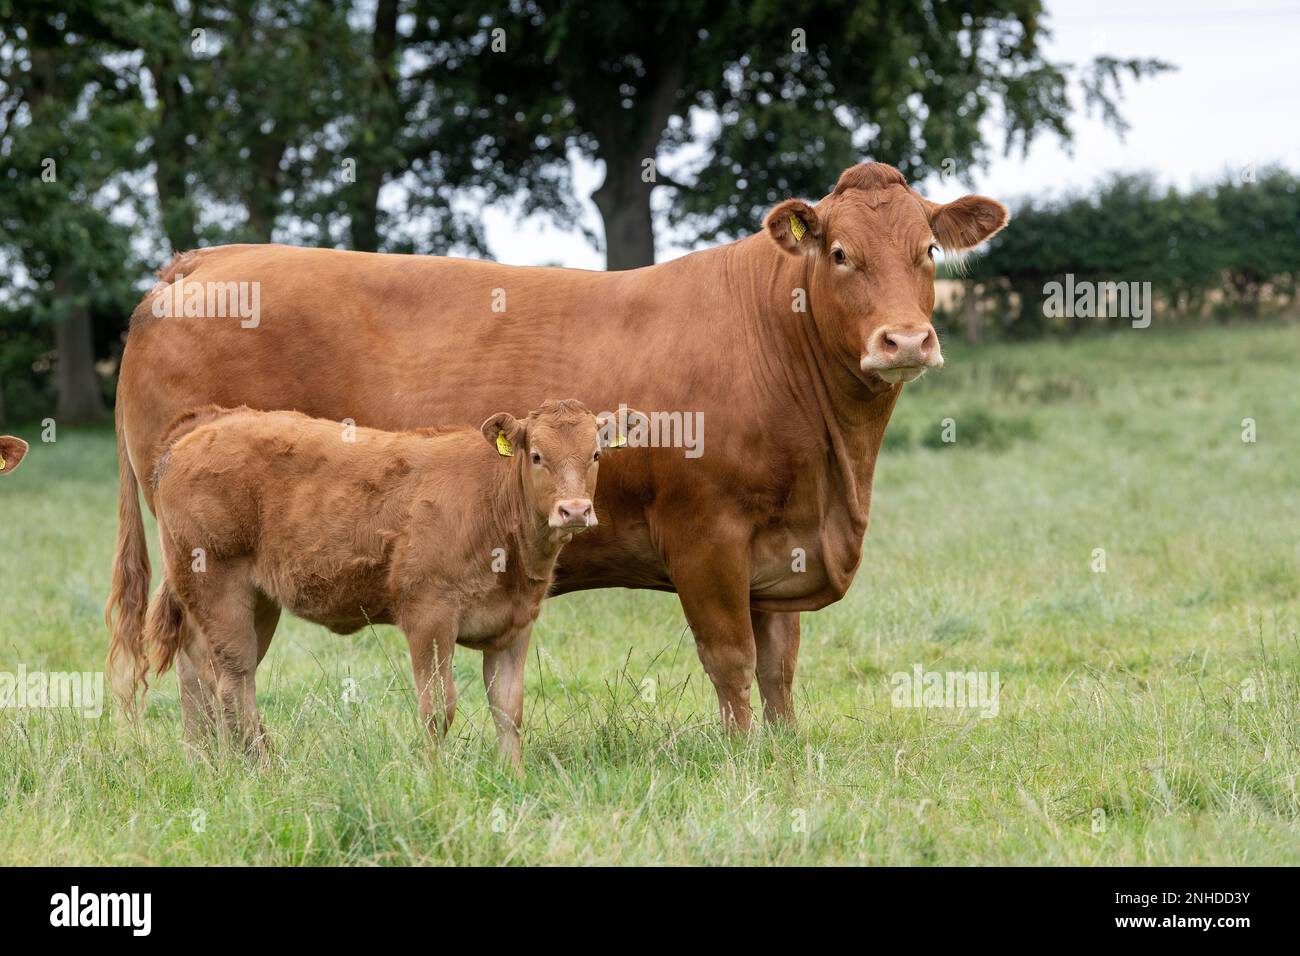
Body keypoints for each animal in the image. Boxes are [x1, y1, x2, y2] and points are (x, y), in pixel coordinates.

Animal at [131, 399, 631, 770]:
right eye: (537, 456)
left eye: (595, 455)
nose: (574, 510)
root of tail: (208, 422)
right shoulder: (429, 615)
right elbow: (438, 708)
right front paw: (436, 777)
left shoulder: (515, 624)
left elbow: (508, 709)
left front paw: (514, 777)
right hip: (217, 580)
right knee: (232, 678)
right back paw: (263, 768)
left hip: (252, 600)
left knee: (202, 669)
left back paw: (208, 764)